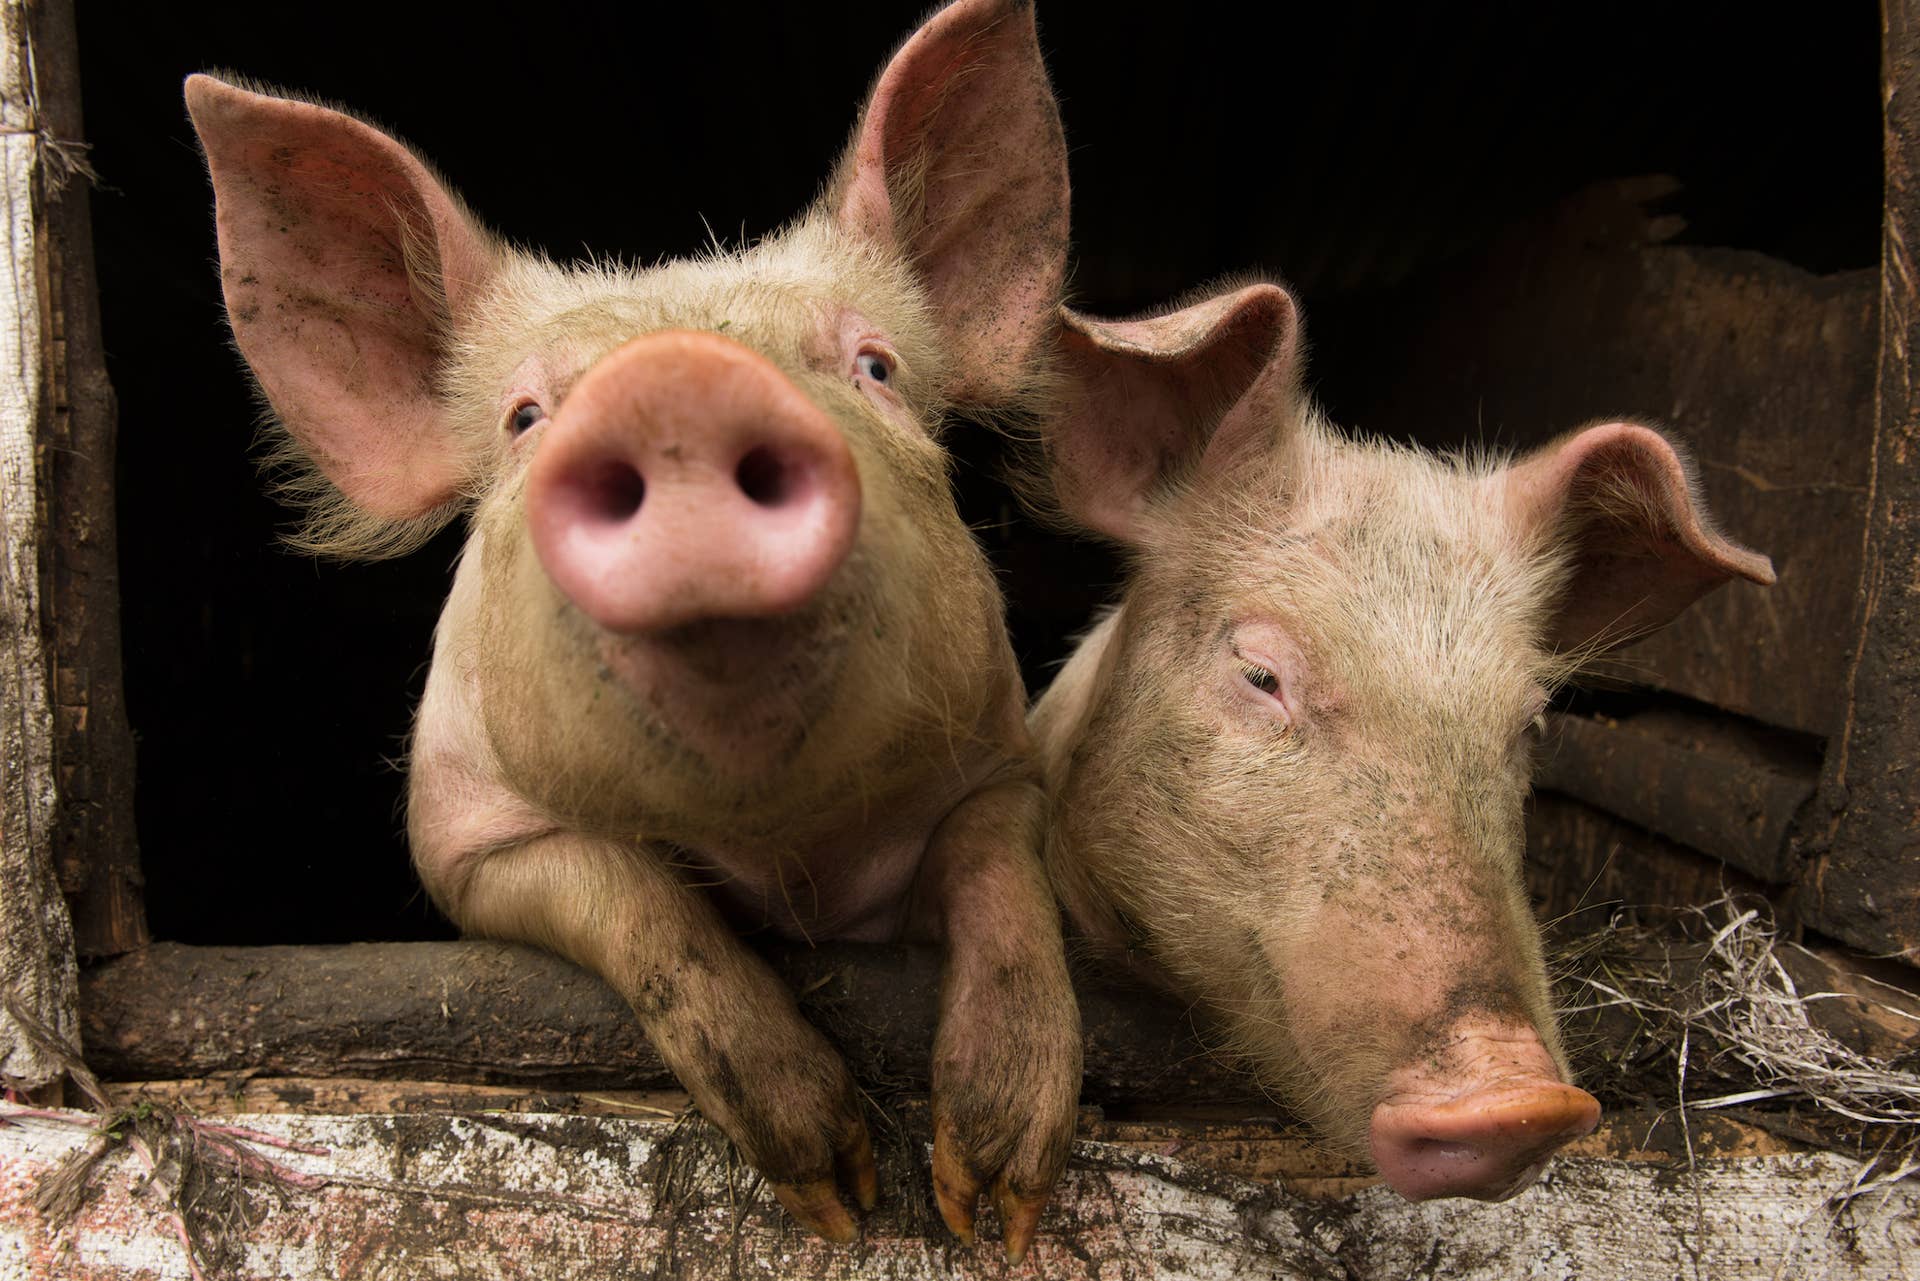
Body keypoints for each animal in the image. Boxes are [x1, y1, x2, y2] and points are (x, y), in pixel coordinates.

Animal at [185, 0, 1080, 1256]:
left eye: (876, 365)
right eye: (523, 415)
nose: (679, 380)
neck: (776, 848)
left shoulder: (1002, 749)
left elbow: (1004, 867)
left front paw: (991, 1205)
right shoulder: (467, 842)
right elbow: (638, 905)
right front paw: (837, 1196)